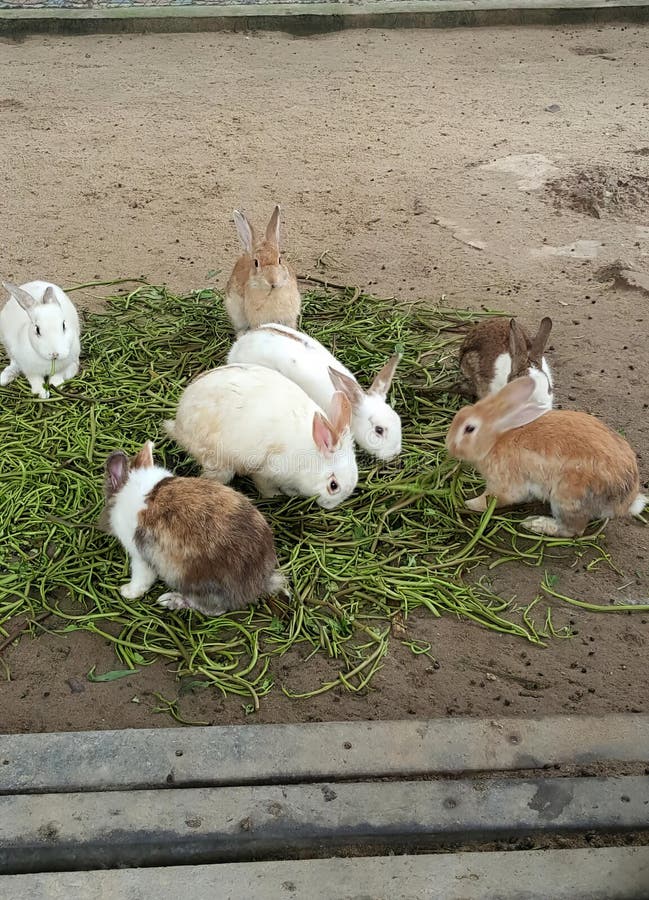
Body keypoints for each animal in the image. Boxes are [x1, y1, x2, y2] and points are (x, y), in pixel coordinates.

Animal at [100, 440, 286, 615]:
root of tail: (259, 583)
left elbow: (142, 579)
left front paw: (127, 592)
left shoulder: (140, 556)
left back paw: (171, 600)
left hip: (191, 580)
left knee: (212, 610)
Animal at [164, 363, 358, 510]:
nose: (329, 506)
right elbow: (264, 486)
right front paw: (275, 495)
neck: (310, 459)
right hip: (219, 464)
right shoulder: (266, 471)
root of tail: (179, 425)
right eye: (333, 486)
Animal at [445, 375, 646, 537]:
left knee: (572, 530)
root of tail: (625, 502)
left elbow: (489, 500)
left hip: (568, 497)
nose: (448, 444)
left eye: (469, 429)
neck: (495, 439)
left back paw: (535, 524)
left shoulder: (502, 486)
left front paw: (468, 503)